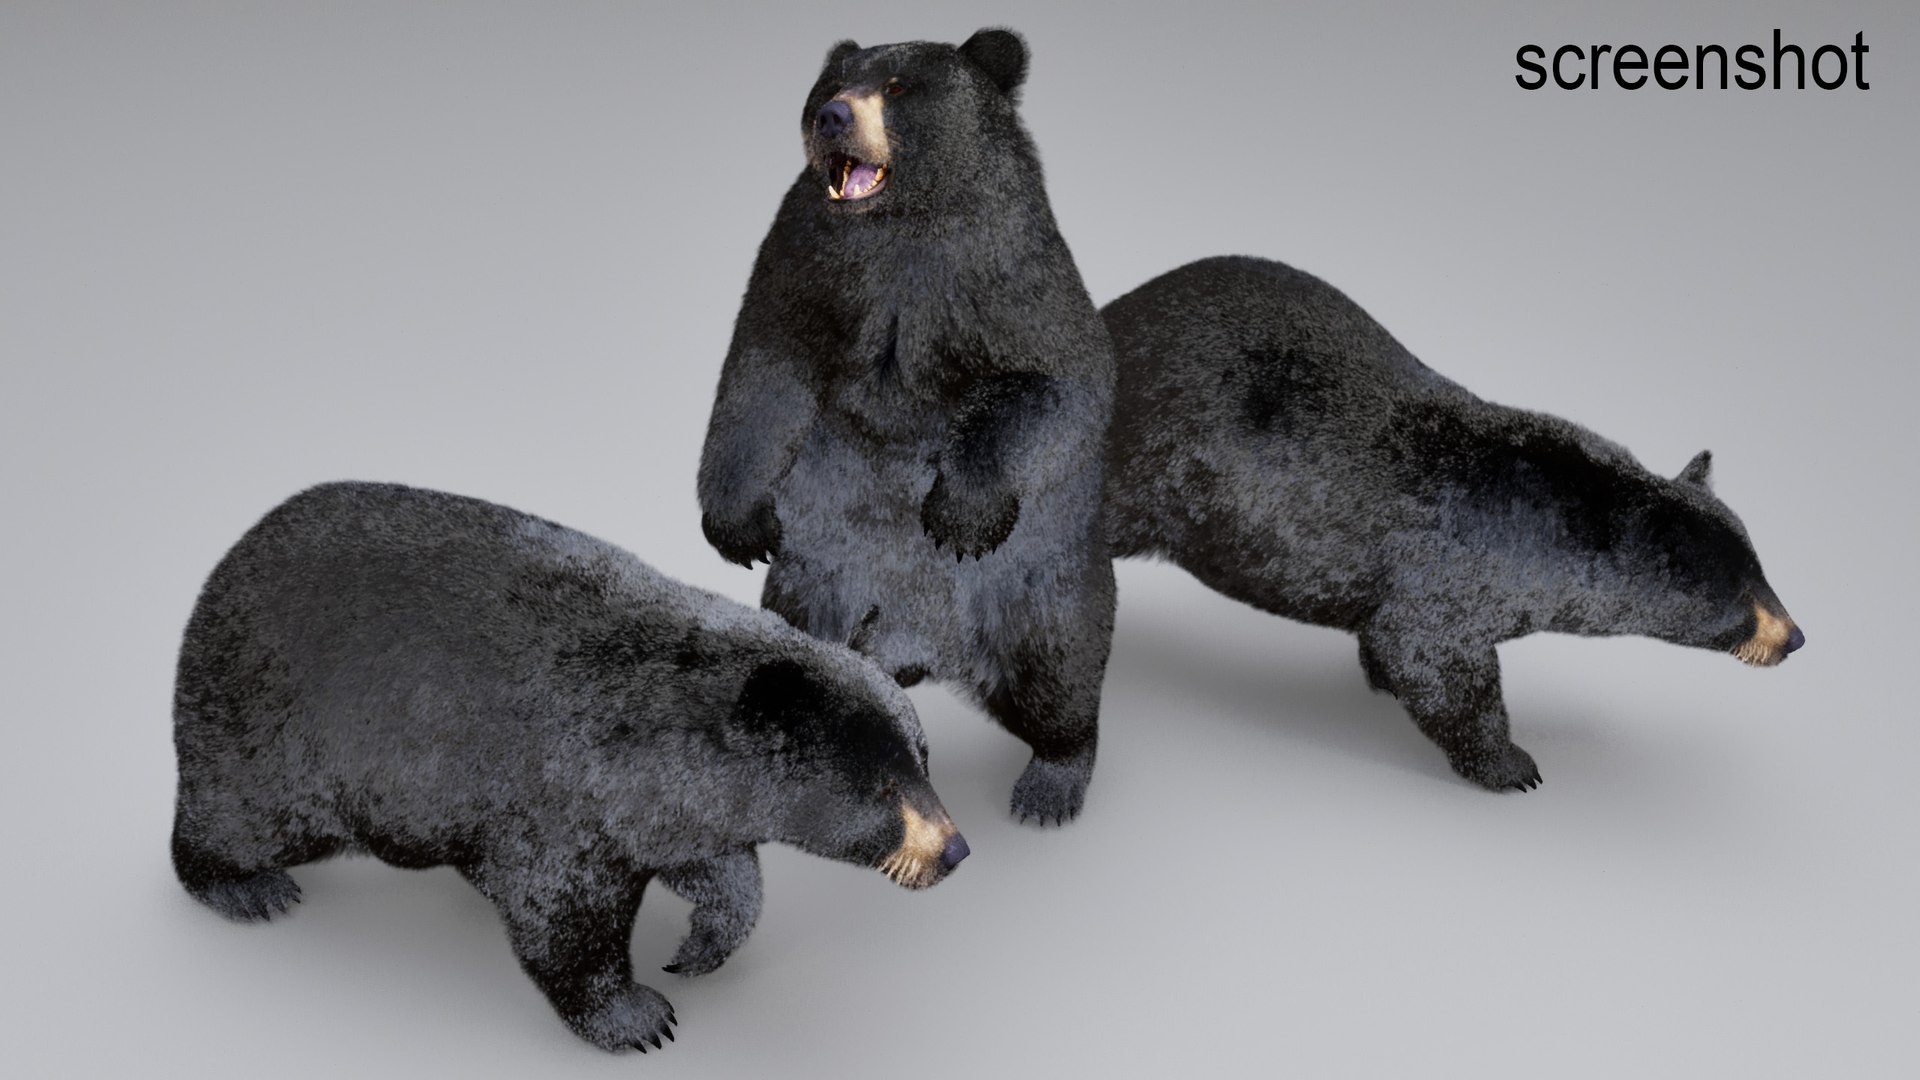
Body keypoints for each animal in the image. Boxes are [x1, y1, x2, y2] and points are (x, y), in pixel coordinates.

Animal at [170, 481, 968, 1053]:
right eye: (884, 788)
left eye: (924, 761)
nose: (954, 849)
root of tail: (223, 569)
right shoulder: (559, 798)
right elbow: (564, 913)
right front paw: (636, 1015)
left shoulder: (669, 809)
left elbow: (720, 868)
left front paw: (699, 946)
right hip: (274, 738)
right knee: (240, 816)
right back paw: (247, 888)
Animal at [697, 29, 1117, 825]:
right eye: (829, 81)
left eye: (896, 86)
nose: (831, 115)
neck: (897, 231)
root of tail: (929, 648)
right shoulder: (806, 266)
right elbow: (761, 378)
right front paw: (738, 526)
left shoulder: (1004, 276)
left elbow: (1056, 386)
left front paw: (961, 514)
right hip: (817, 580)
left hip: (1041, 590)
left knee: (1060, 669)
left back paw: (1050, 782)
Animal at [1101, 256, 1805, 792]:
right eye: (1738, 593)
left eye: (1762, 571)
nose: (1794, 637)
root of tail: (1113, 315)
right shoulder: (1447, 579)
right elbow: (1432, 659)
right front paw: (1512, 765)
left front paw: (1380, 681)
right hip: (1139, 462)